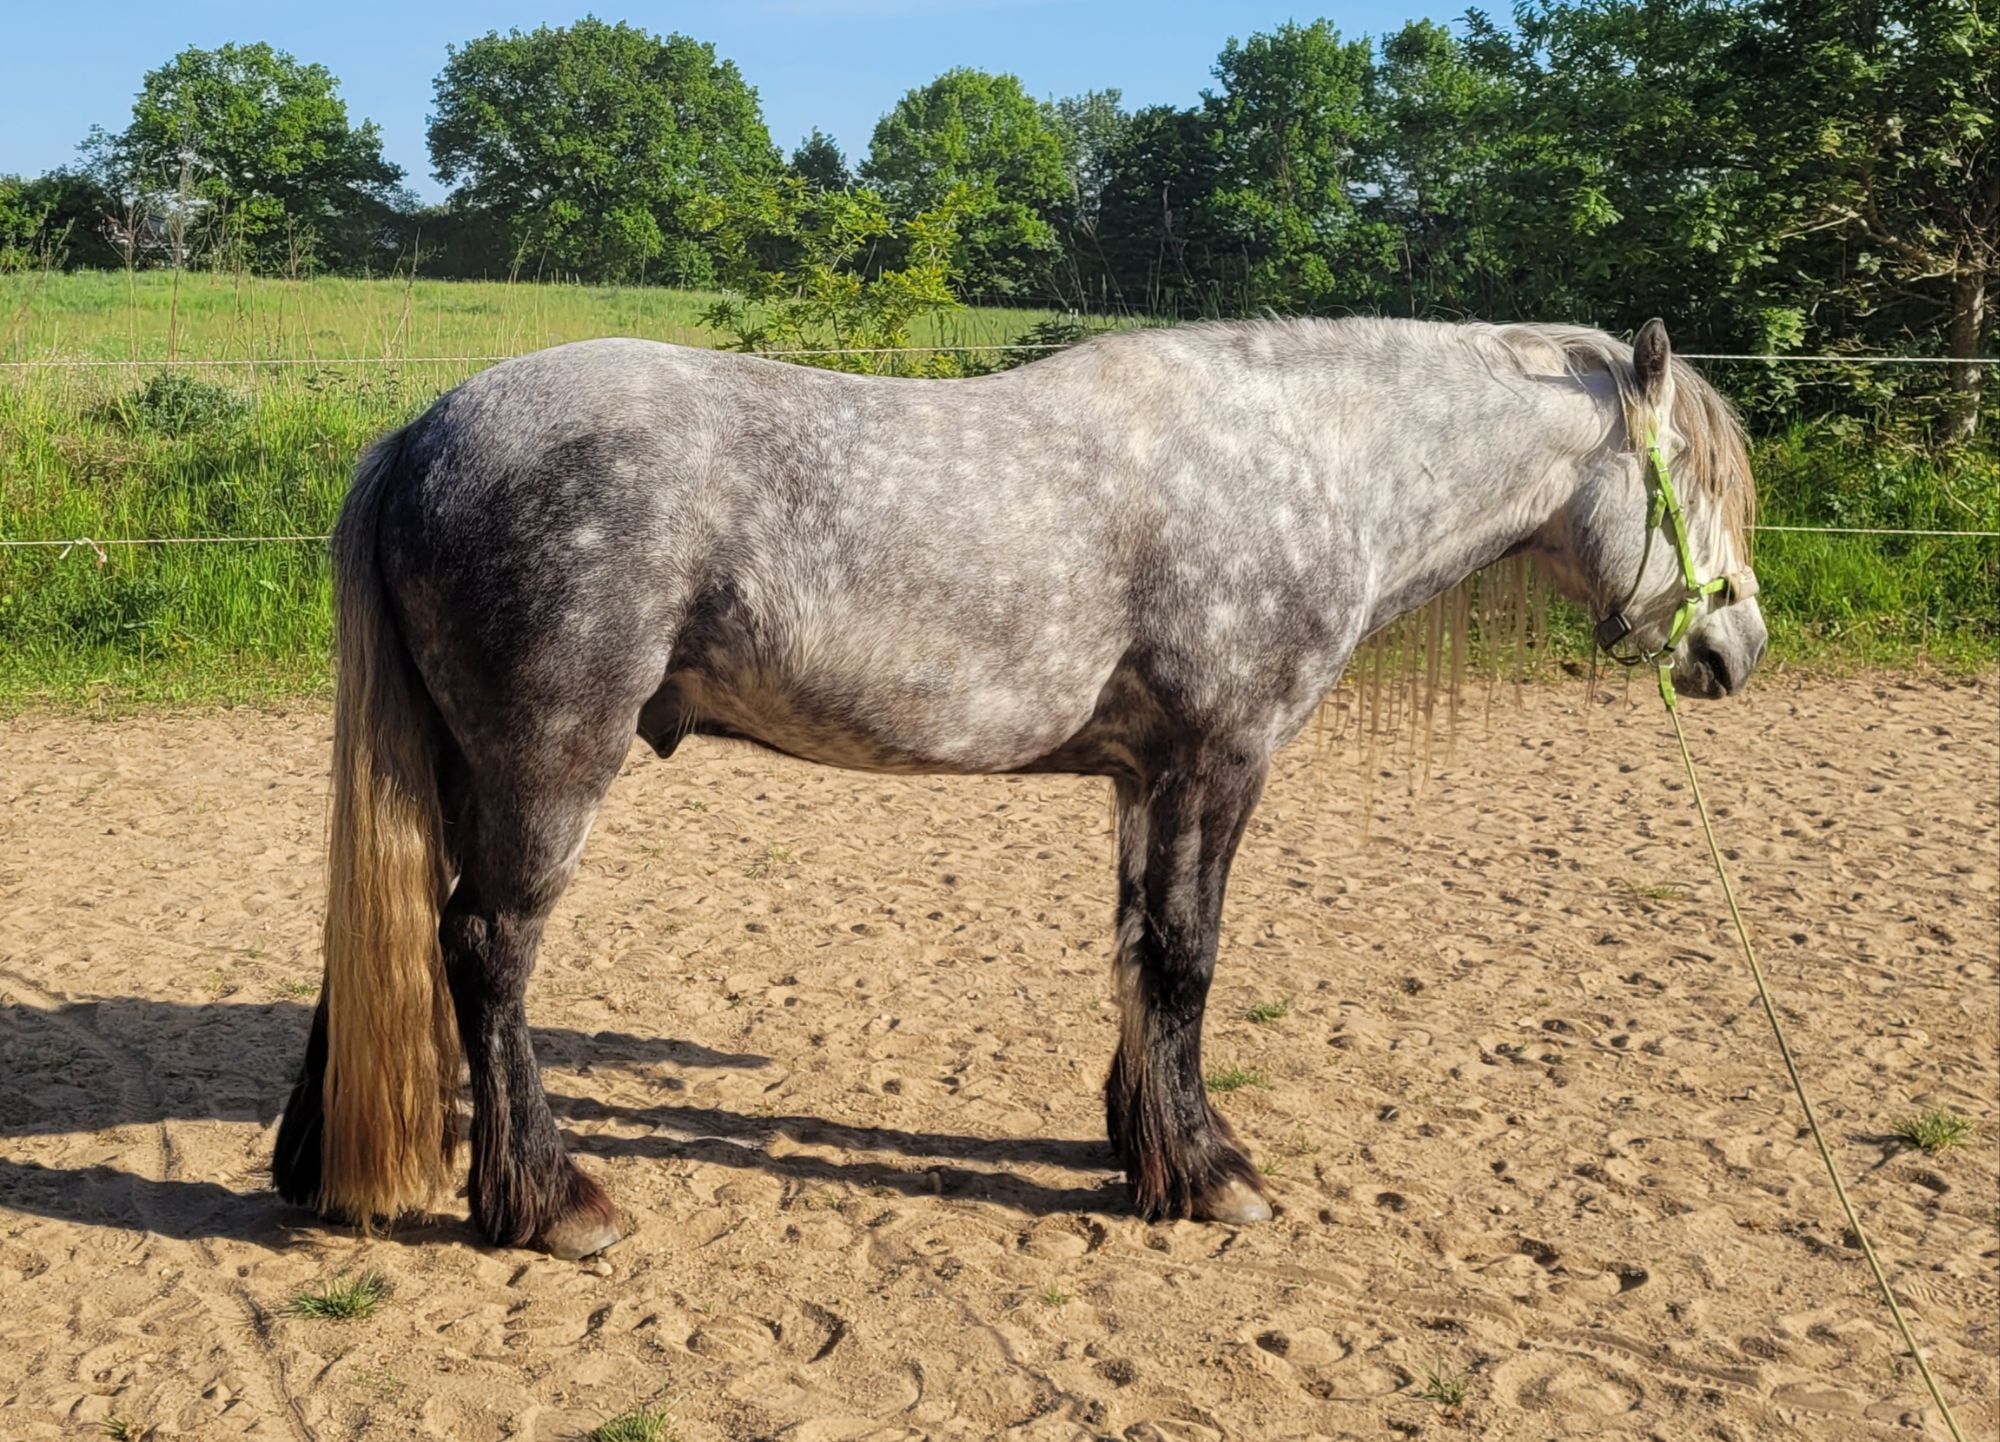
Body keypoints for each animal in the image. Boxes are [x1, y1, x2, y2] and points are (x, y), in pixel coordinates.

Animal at [271, 315, 1766, 1259]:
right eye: (1690, 478)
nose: (1735, 644)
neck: (1308, 459)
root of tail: (424, 431)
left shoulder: (1145, 777)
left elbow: (1137, 952)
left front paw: (1144, 1144)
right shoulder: (1219, 760)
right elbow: (1188, 958)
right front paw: (1210, 1174)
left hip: (453, 766)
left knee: (401, 938)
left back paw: (328, 1164)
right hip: (546, 764)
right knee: (485, 946)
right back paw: (547, 1200)